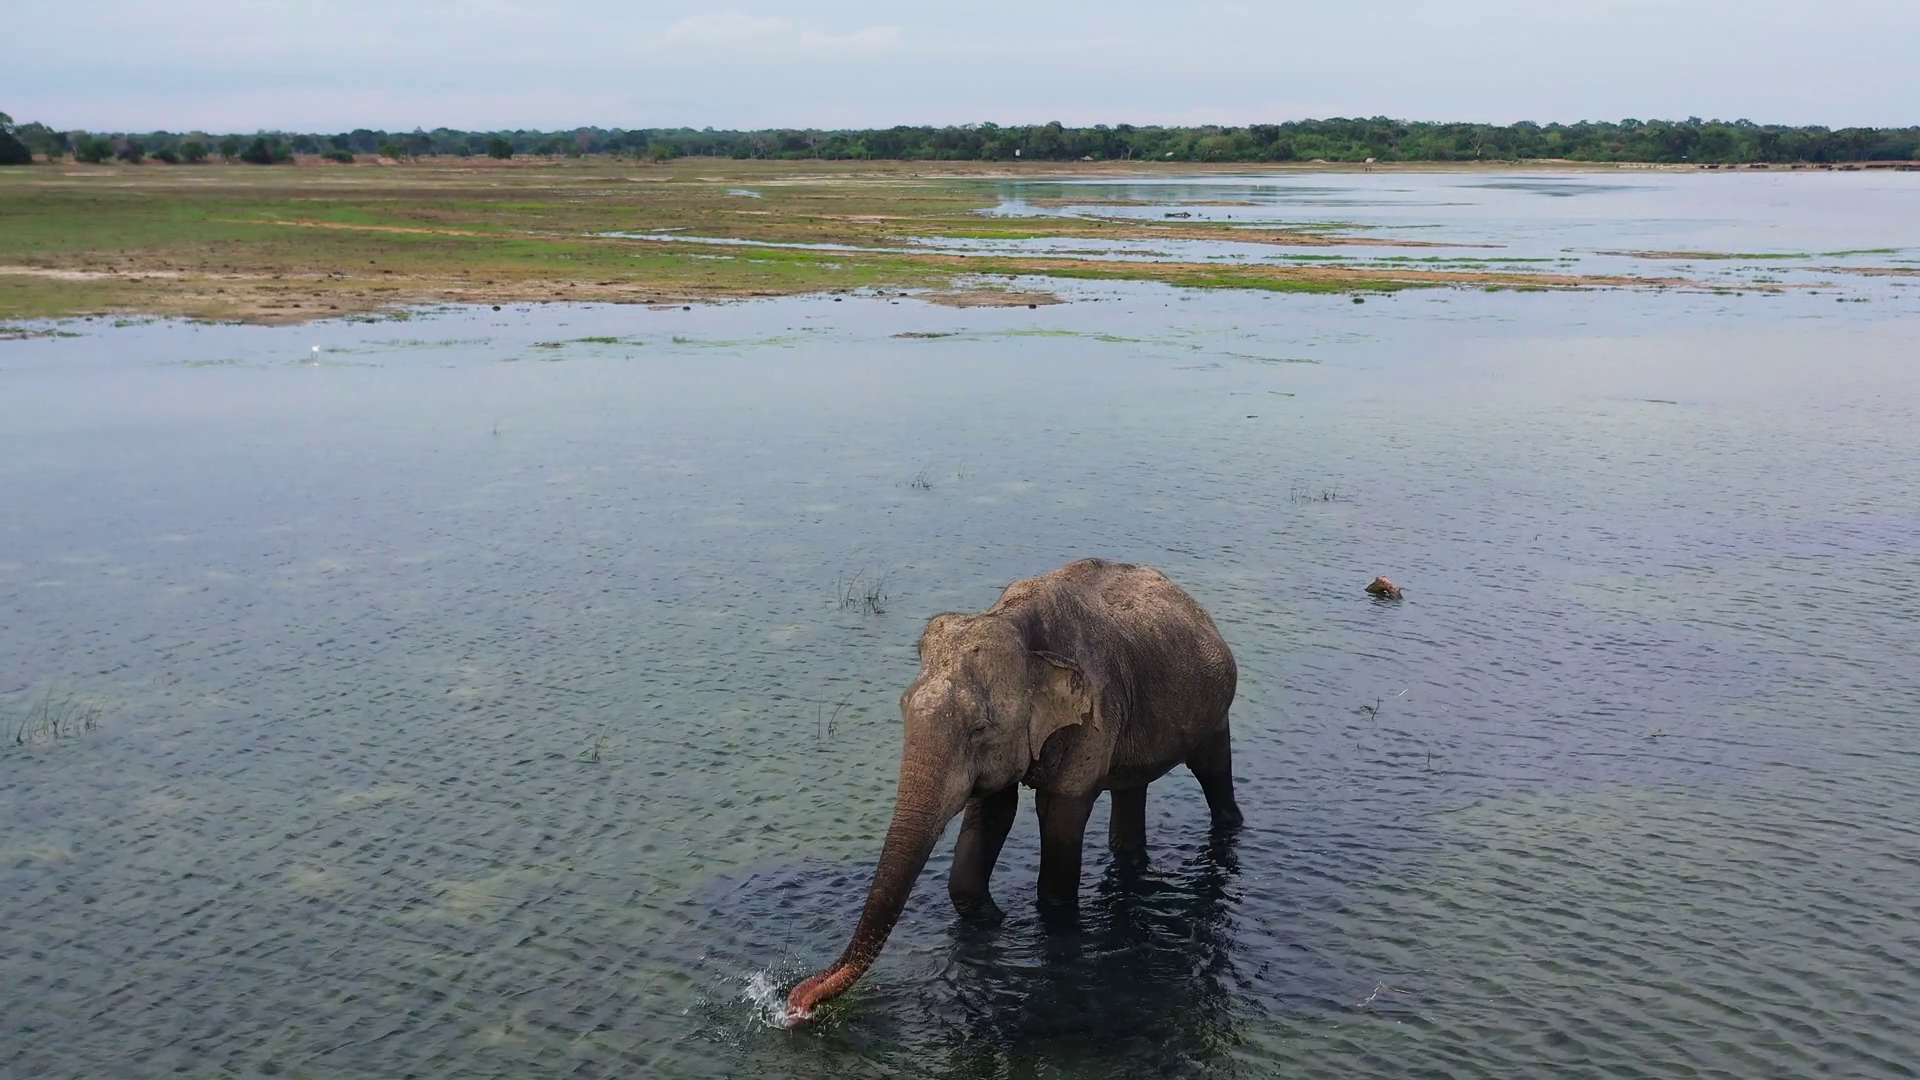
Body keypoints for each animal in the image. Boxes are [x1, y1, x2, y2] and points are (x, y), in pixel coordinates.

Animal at [788, 558, 1242, 1017]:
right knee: (1131, 787)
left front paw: (1049, 922)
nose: (796, 1000)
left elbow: (1059, 816)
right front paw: (993, 921)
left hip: (1214, 706)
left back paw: (1228, 830)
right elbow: (992, 812)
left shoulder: (1096, 714)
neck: (1016, 623)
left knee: (1212, 769)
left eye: (978, 729)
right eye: (902, 708)